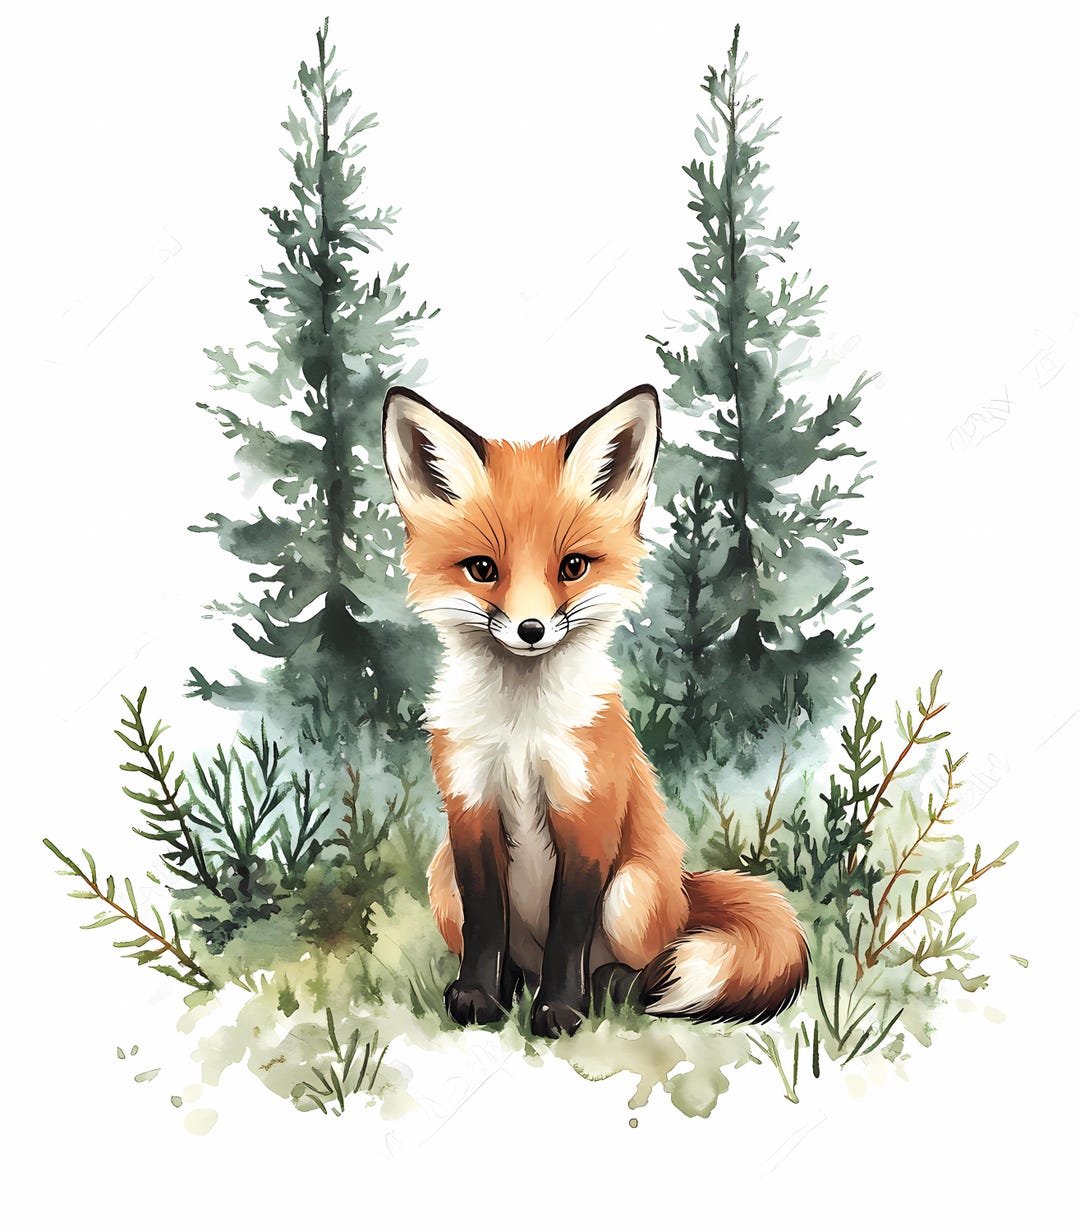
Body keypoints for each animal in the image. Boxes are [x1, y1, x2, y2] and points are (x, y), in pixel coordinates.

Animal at [382, 383, 809, 1038]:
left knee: (647, 963)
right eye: (483, 569)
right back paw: (512, 984)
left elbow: (570, 927)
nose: (531, 630)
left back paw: (613, 986)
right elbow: (485, 924)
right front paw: (479, 997)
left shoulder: (588, 809)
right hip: (440, 878)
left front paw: (560, 1011)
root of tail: (685, 887)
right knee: (513, 952)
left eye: (573, 566)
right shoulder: (469, 807)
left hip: (632, 893)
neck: (521, 732)